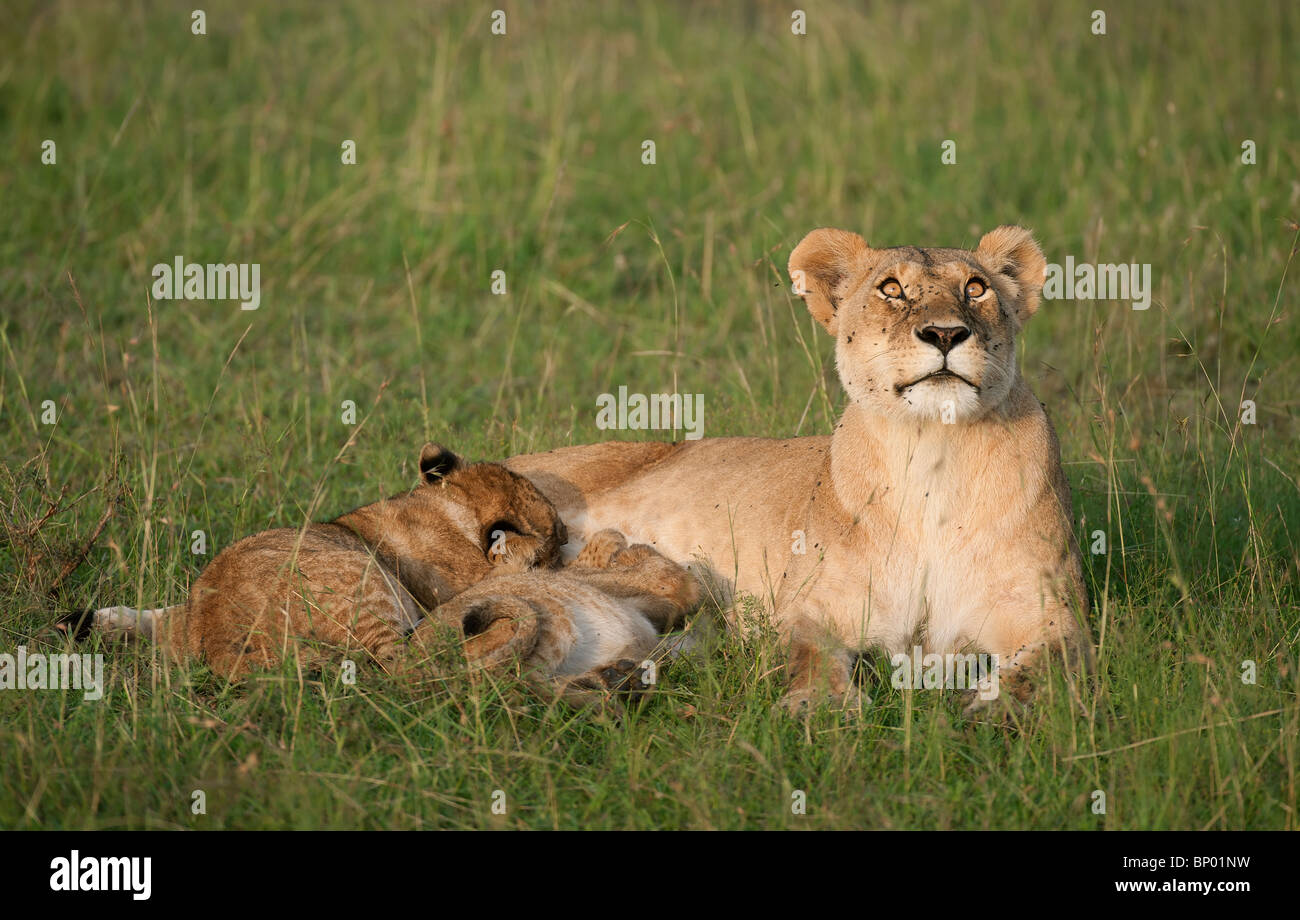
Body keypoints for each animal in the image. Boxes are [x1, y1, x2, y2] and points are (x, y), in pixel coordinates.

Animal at [506, 226, 1091, 713]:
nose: (945, 334)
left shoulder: (1049, 611)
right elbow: (809, 652)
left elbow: (1048, 663)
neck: (934, 455)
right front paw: (821, 707)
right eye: (892, 289)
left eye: (975, 288)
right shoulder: (811, 604)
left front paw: (998, 709)